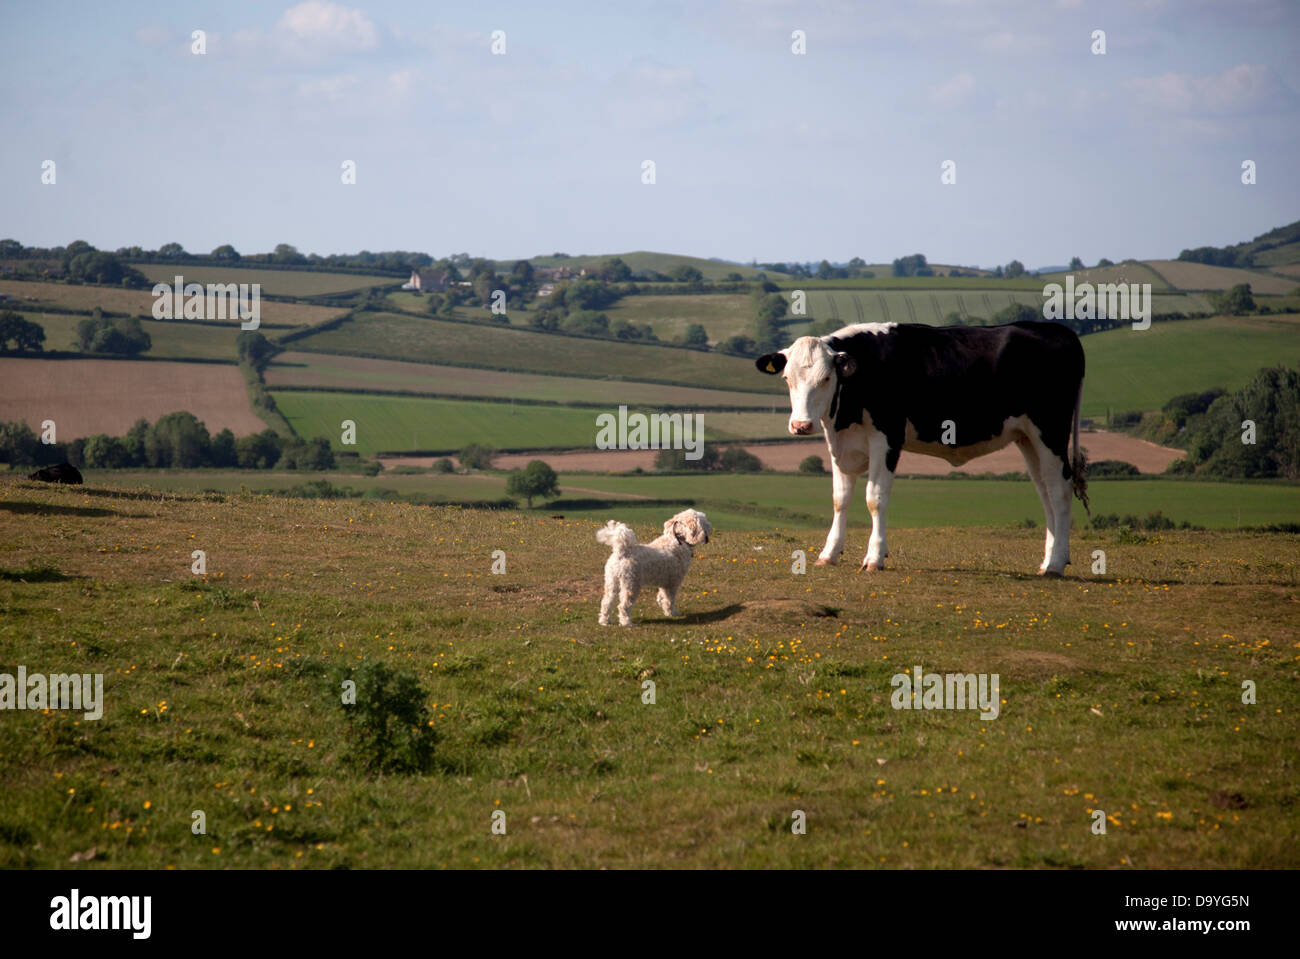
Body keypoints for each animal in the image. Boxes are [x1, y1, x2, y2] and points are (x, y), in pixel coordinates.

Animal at [756, 321, 1088, 576]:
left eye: (826, 378)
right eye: (786, 378)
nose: (801, 425)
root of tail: (1057, 329)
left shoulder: (887, 438)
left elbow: (874, 498)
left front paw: (874, 558)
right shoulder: (842, 443)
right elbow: (841, 499)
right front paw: (829, 554)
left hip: (1050, 431)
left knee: (1059, 490)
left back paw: (1056, 564)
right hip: (1028, 438)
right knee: (1045, 491)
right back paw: (1047, 561)